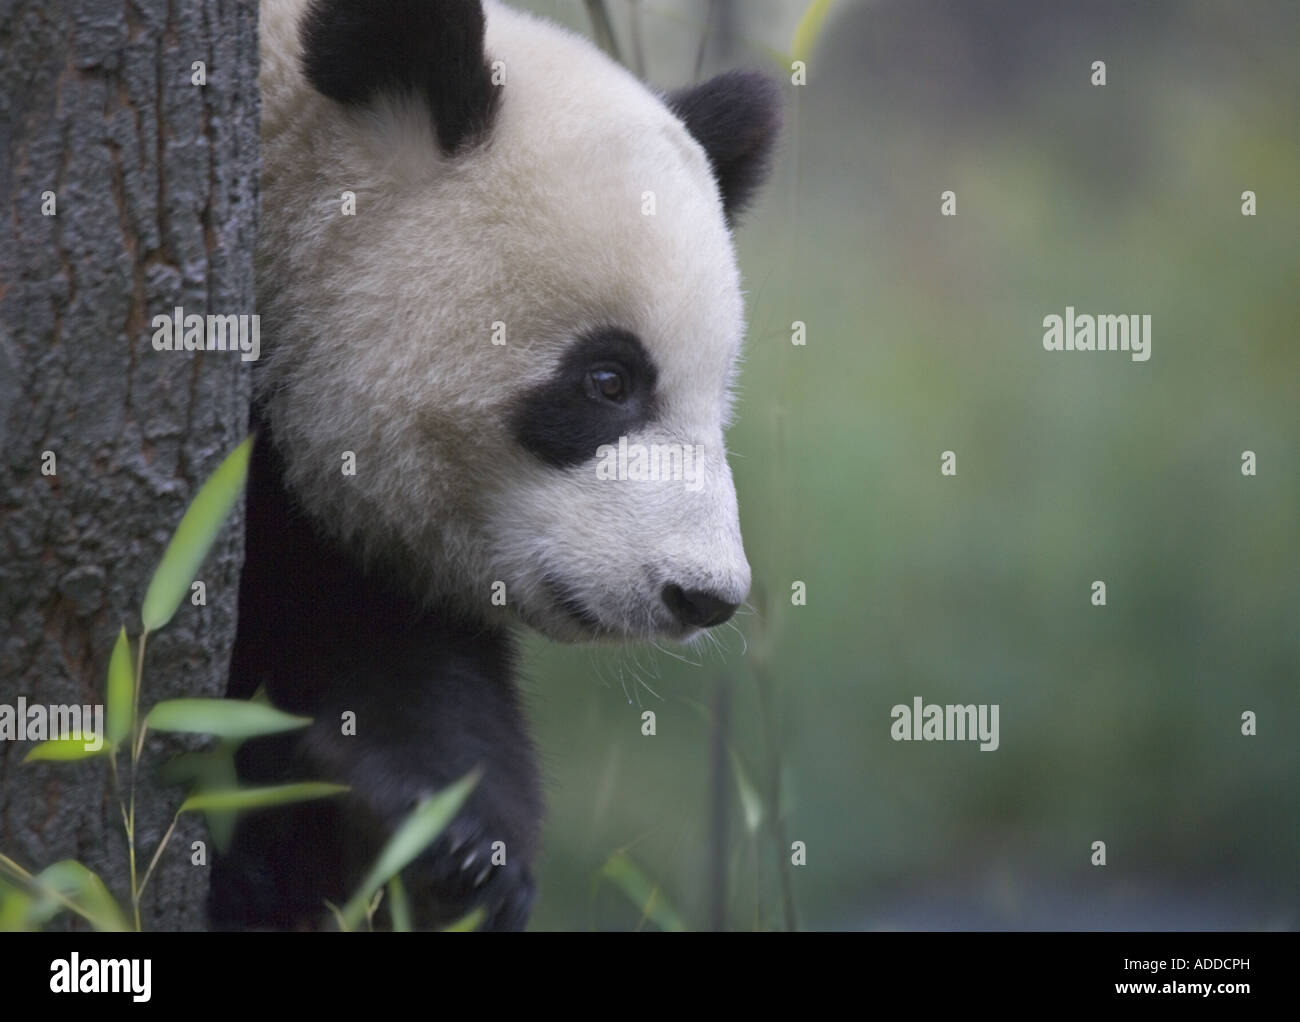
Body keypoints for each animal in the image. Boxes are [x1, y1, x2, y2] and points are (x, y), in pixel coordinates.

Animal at [209, 0, 779, 931]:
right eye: (609, 380)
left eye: (718, 398)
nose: (703, 594)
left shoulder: (351, 542)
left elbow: (397, 666)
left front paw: (452, 853)